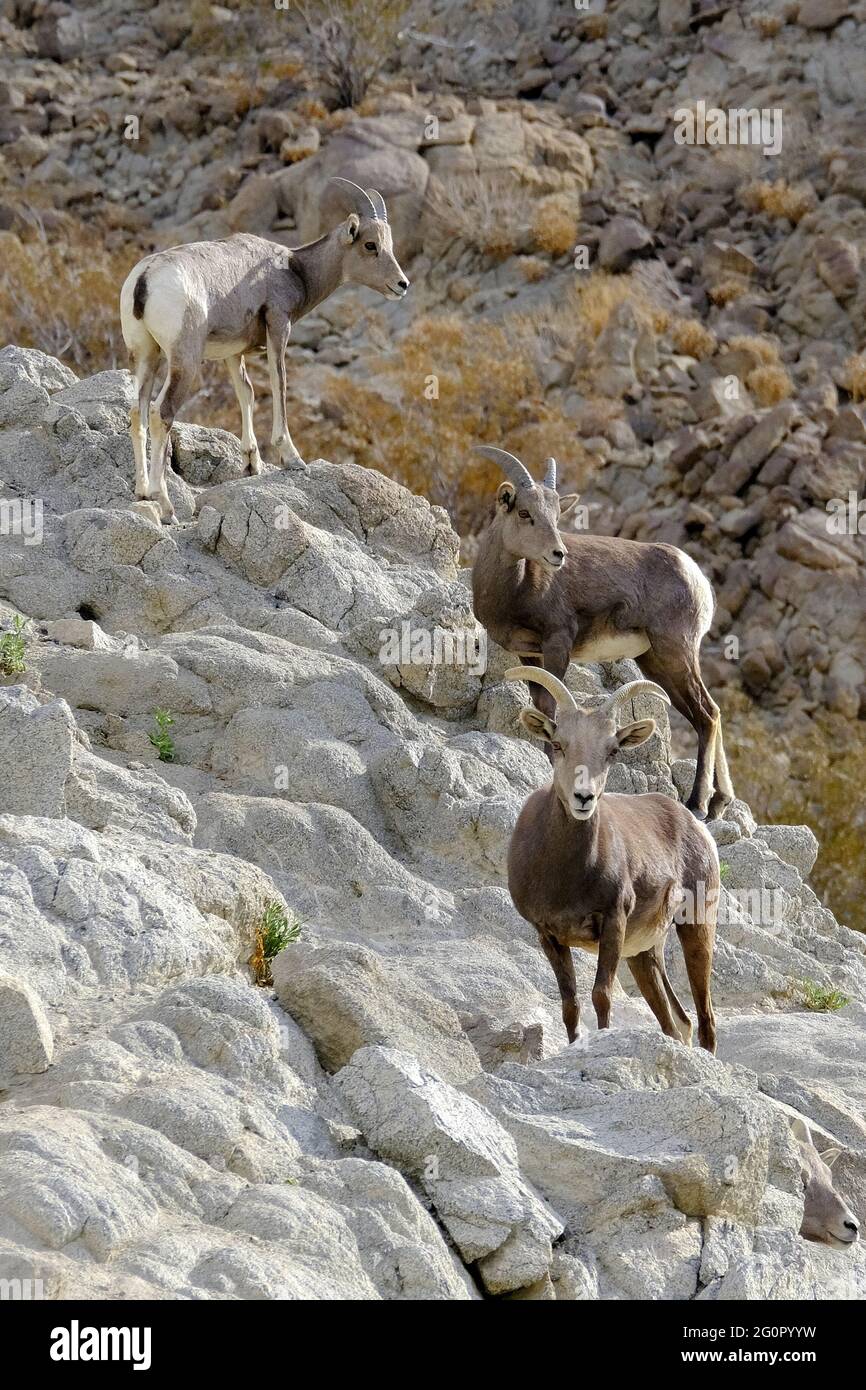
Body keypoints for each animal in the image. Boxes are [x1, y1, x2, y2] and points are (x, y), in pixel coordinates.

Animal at [119, 179, 409, 524]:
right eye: (370, 245)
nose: (402, 284)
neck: (294, 269)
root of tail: (145, 278)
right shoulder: (278, 326)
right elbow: (278, 383)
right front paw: (292, 458)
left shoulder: (233, 354)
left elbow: (247, 394)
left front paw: (251, 464)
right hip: (183, 362)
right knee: (160, 413)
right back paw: (165, 507)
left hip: (145, 356)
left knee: (137, 412)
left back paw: (142, 492)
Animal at [472, 446, 734, 821]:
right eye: (525, 512)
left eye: (556, 516)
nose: (558, 555)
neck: (515, 588)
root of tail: (695, 576)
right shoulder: (529, 653)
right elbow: (540, 705)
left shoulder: (557, 644)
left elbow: (552, 705)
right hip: (655, 662)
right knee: (707, 715)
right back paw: (719, 804)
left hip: (675, 653)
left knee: (708, 714)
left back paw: (697, 804)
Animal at [504, 665, 718, 1052]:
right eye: (558, 745)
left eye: (613, 751)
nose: (584, 797)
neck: (565, 877)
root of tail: (695, 823)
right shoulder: (548, 935)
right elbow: (570, 1003)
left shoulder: (613, 921)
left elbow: (601, 995)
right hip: (644, 955)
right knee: (677, 1022)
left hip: (696, 925)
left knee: (706, 1019)